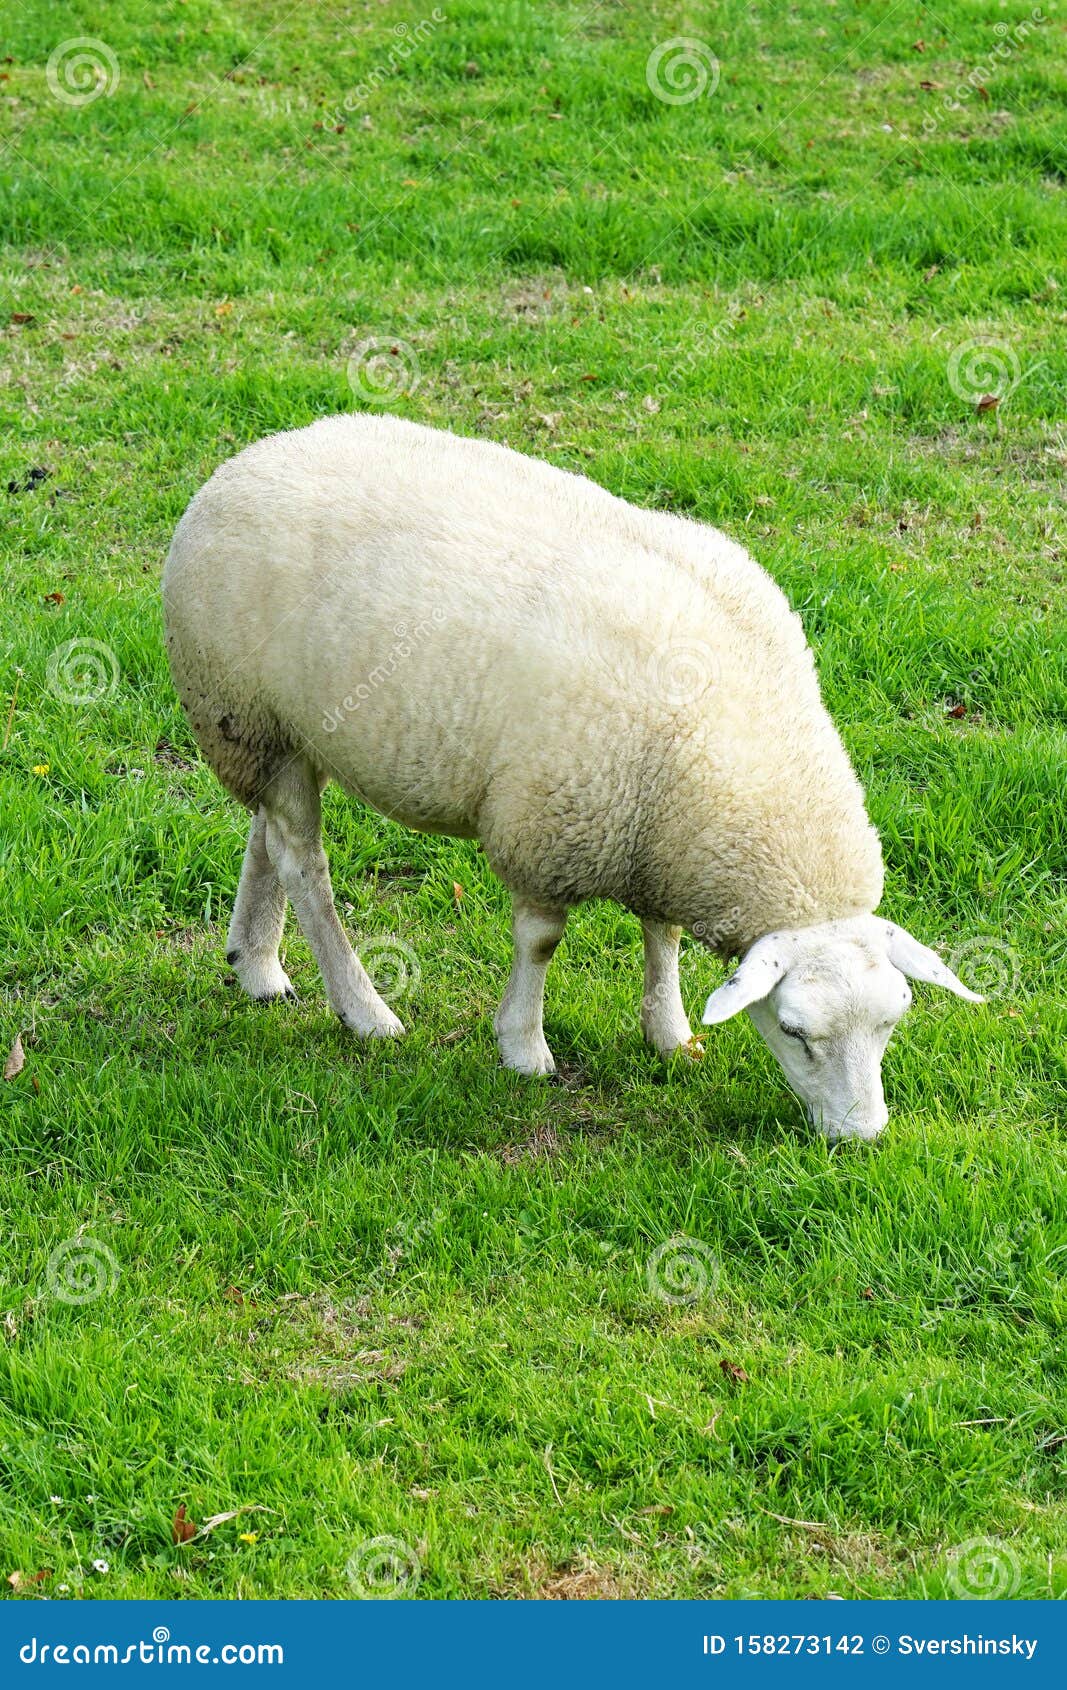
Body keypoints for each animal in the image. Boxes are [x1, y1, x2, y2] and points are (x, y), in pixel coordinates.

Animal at [162, 413, 981, 1141]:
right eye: (793, 1030)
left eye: (892, 1023)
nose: (863, 1136)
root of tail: (252, 456)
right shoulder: (550, 825)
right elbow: (541, 942)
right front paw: (523, 1048)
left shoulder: (655, 831)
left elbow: (661, 933)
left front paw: (669, 1032)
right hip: (244, 709)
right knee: (306, 866)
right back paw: (364, 1011)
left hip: (274, 732)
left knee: (266, 834)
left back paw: (255, 964)